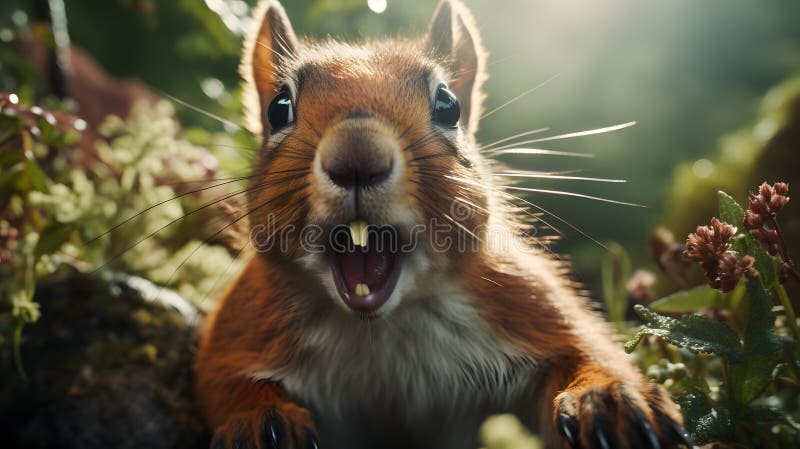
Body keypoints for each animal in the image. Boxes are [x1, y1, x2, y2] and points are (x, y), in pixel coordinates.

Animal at [194, 1, 693, 448]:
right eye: (279, 108)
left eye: (448, 106)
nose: (357, 156)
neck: (382, 328)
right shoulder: (243, 324)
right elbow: (220, 380)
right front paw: (256, 419)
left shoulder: (527, 302)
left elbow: (587, 349)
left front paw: (606, 398)